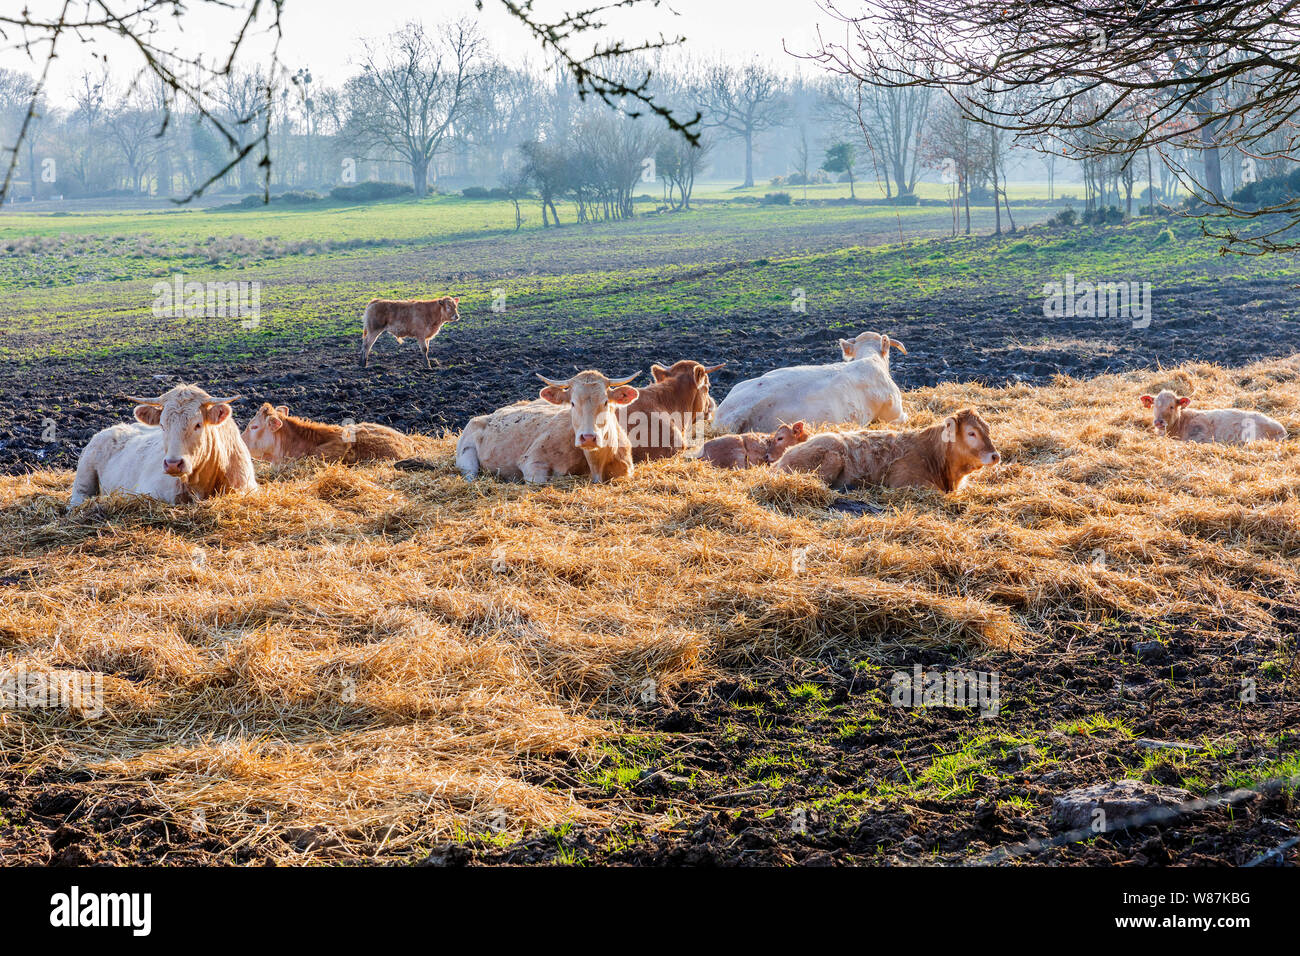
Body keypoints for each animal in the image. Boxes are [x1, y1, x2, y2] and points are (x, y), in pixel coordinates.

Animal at [455, 371, 640, 483]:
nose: (588, 437)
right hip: (466, 456)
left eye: (606, 402)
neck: (596, 466)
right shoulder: (532, 462)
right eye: (572, 403)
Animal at [774, 408, 1000, 493]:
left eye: (988, 429)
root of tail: (780, 460)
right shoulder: (905, 481)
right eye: (971, 433)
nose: (995, 456)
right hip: (831, 458)